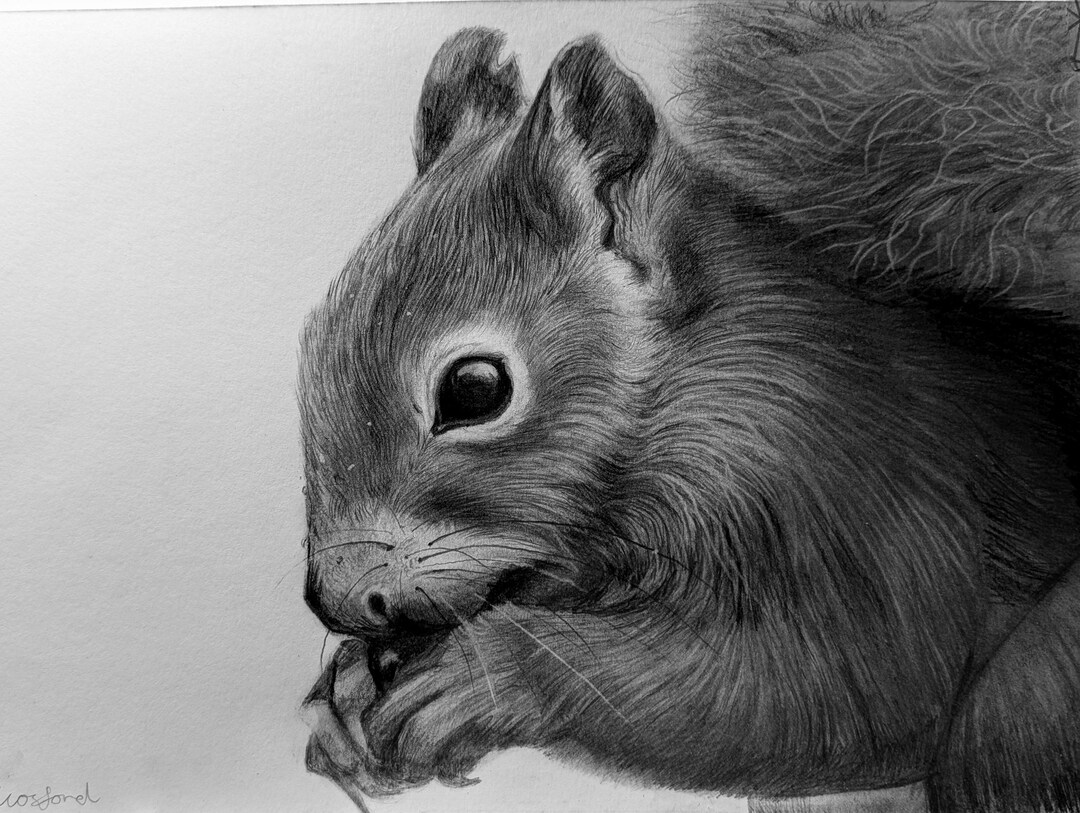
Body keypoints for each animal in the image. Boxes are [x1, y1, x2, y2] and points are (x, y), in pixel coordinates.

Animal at [298, 3, 1080, 812]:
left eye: (476, 389)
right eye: (314, 342)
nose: (339, 599)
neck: (703, 385)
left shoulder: (872, 501)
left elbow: (843, 689)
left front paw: (489, 672)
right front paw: (345, 691)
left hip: (1031, 697)